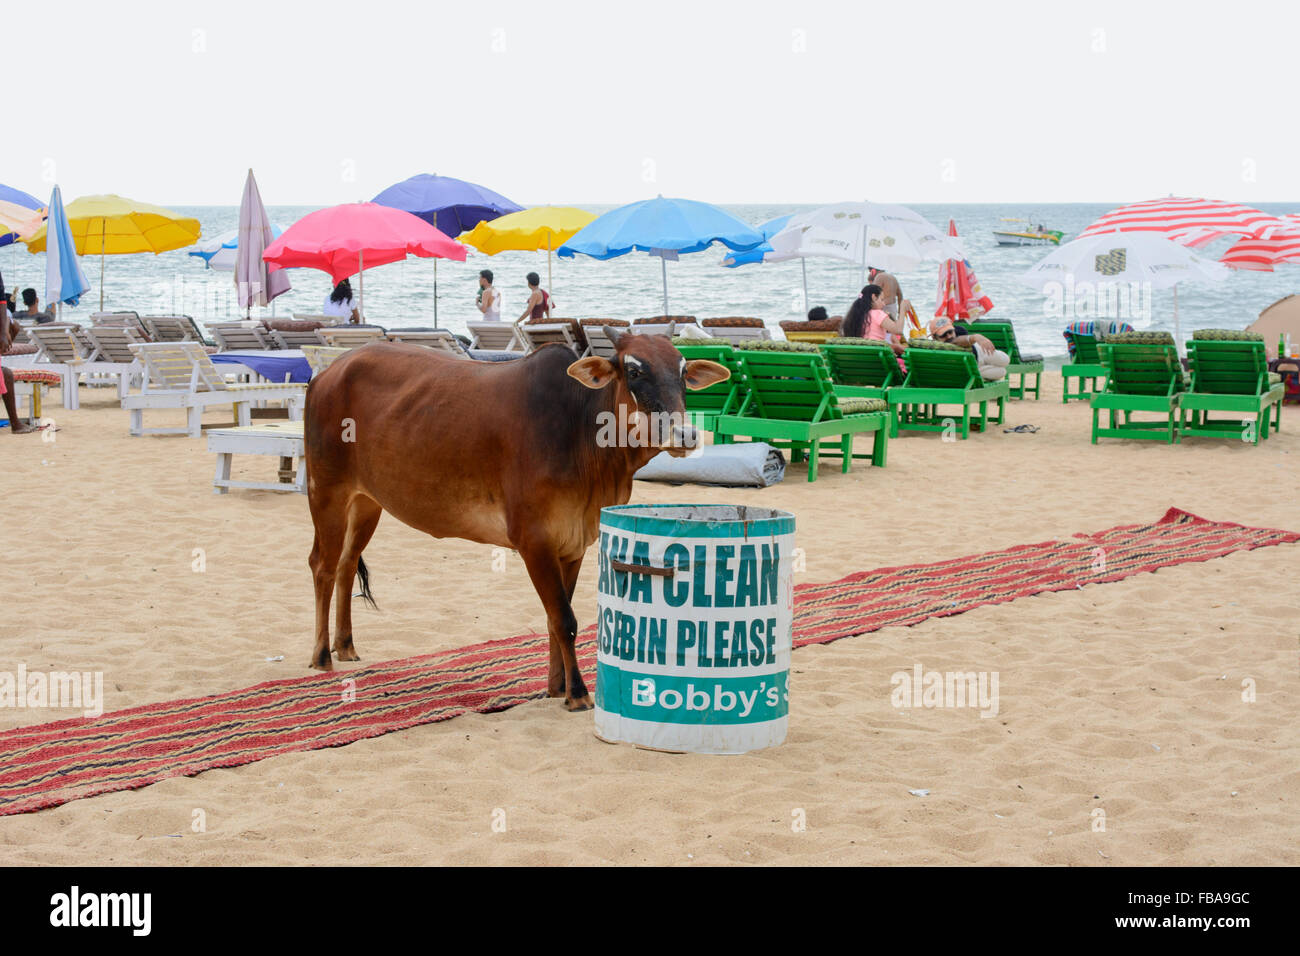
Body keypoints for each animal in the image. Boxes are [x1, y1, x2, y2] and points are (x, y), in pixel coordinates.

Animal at [303, 330, 730, 711]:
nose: (686, 434)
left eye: (682, 371)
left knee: (345, 565)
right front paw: (577, 693)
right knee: (322, 566)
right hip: (326, 490)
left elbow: (554, 617)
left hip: (366, 502)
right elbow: (565, 619)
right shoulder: (534, 541)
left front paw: (556, 687)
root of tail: (329, 372)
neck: (581, 428)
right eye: (634, 370)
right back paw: (322, 655)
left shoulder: (574, 543)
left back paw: (346, 646)